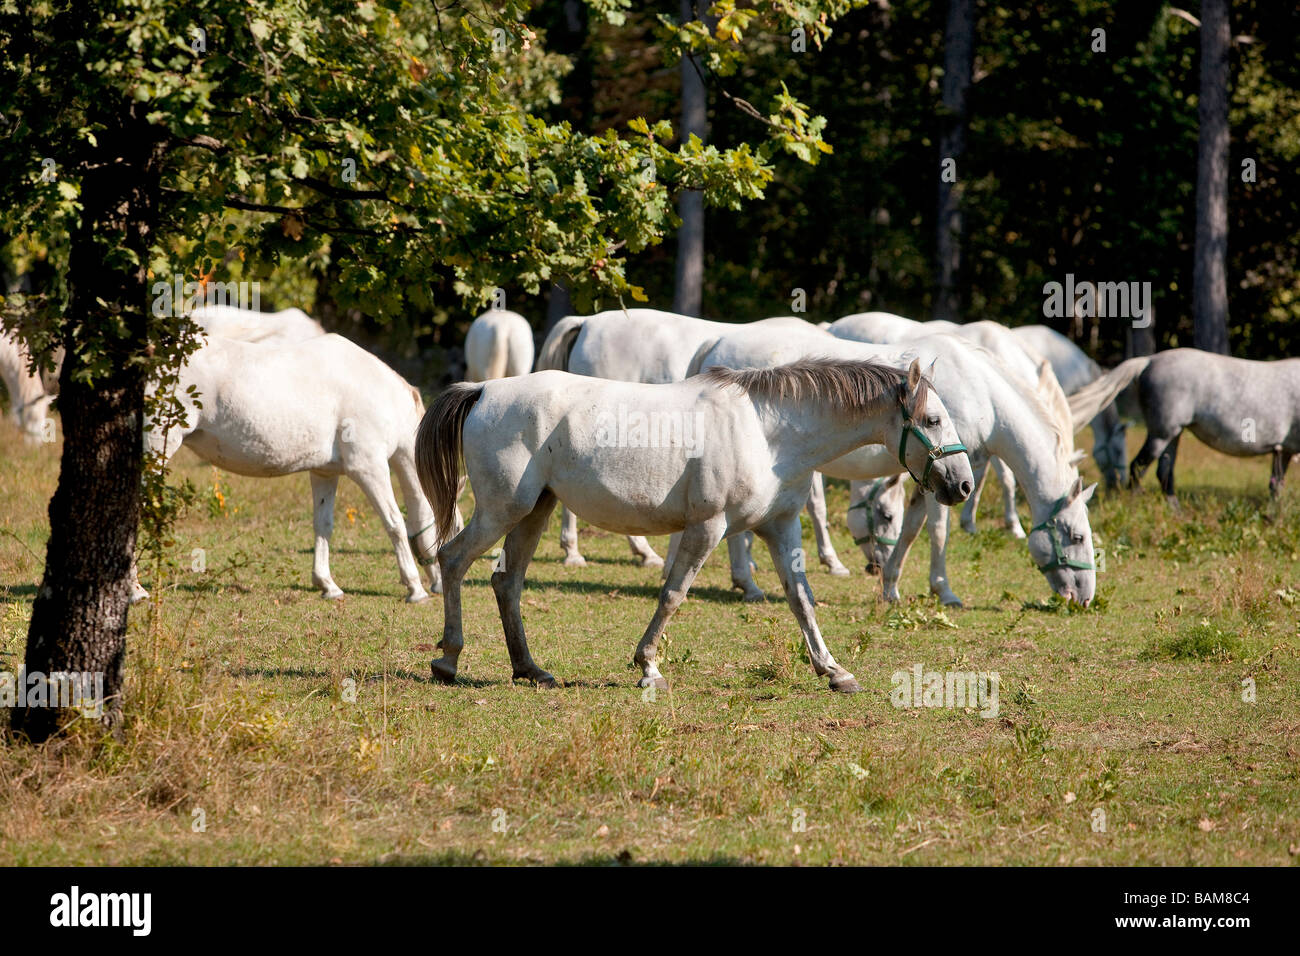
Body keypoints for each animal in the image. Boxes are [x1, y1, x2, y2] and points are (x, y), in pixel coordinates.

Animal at [131, 332, 450, 603]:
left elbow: (323, 525)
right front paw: (415, 589)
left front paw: (328, 585)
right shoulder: (368, 467)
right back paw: (135, 591)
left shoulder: (325, 473)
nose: (442, 585)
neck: (376, 391)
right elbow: (394, 523)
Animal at [414, 357, 973, 693]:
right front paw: (649, 668)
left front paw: (833, 670)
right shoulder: (708, 527)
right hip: (502, 510)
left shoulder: (782, 527)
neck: (766, 432)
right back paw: (448, 660)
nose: (963, 486)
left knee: (506, 582)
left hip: (535, 510)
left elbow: (801, 598)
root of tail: (484, 390)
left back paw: (528, 669)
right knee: (453, 559)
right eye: (932, 420)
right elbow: (673, 594)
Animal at [698, 324, 1097, 607]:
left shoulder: (933, 477)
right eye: (1077, 537)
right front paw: (944, 591)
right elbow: (938, 532)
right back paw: (749, 584)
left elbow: (910, 530)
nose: (1085, 597)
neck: (982, 390)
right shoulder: (946, 476)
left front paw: (890, 586)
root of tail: (715, 343)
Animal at [1067, 348, 1300, 504]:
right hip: (1162, 434)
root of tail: (1149, 361)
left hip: (1174, 435)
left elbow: (1276, 486)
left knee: (1163, 474)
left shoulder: (1283, 450)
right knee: (1138, 468)